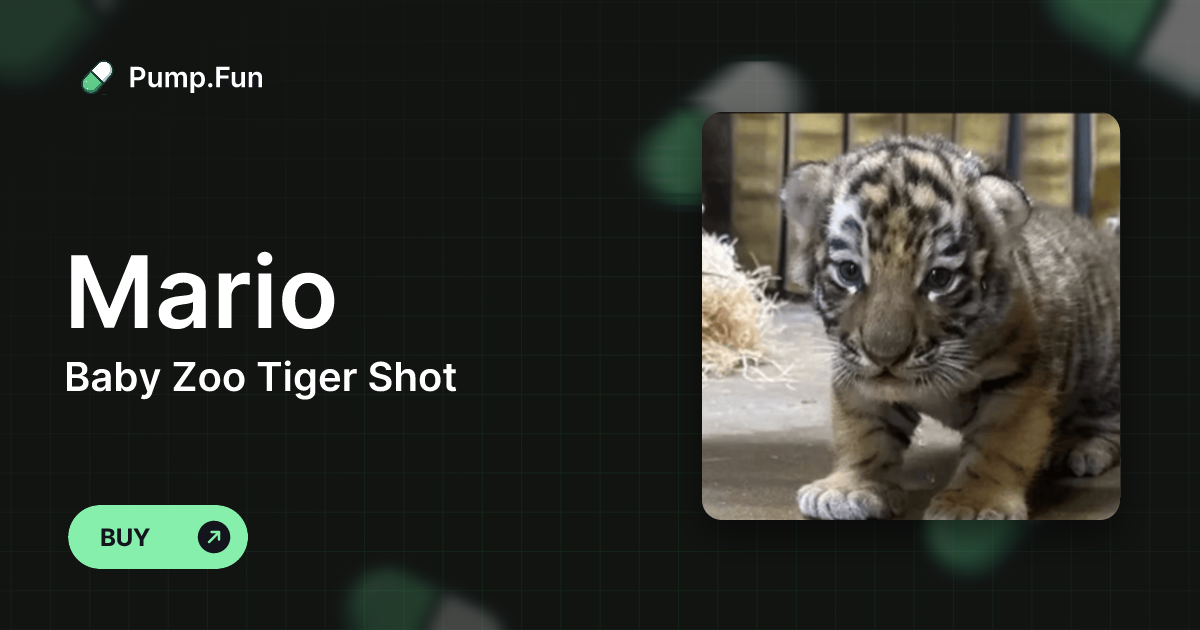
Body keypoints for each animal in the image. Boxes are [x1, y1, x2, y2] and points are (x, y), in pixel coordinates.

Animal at [782, 136, 1120, 520]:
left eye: (939, 278)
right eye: (850, 272)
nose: (885, 357)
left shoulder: (1019, 378)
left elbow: (1000, 445)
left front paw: (974, 503)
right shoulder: (855, 371)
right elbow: (862, 431)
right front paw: (851, 488)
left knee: (1106, 417)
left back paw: (1080, 447)